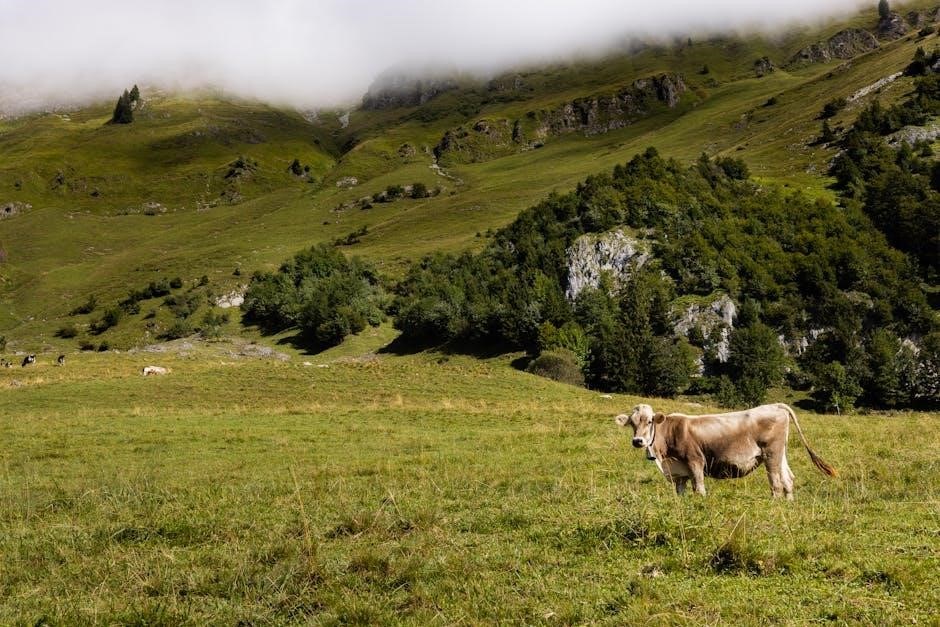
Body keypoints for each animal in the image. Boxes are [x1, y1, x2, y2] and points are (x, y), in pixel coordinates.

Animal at [615, 403, 837, 500]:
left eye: (649, 421)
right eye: (632, 423)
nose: (638, 441)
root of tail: (775, 405)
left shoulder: (695, 461)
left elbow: (699, 487)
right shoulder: (679, 471)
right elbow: (680, 492)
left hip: (771, 454)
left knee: (776, 483)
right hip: (780, 453)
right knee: (788, 478)